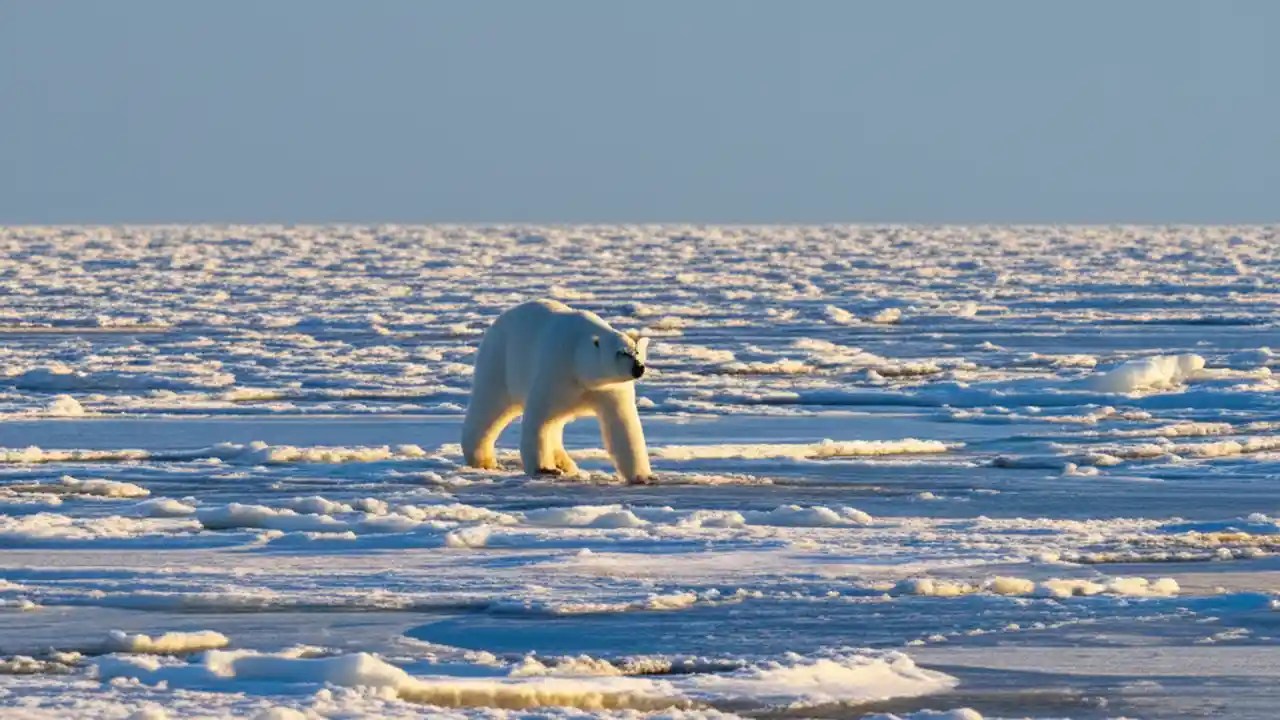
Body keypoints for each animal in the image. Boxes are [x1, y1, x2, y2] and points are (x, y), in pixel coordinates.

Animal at [461, 299, 653, 483]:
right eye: (622, 352)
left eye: (636, 352)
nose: (638, 368)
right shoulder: (556, 370)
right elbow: (539, 419)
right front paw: (545, 469)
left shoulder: (610, 389)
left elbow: (623, 425)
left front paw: (644, 476)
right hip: (500, 362)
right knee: (489, 407)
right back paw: (483, 460)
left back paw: (565, 463)